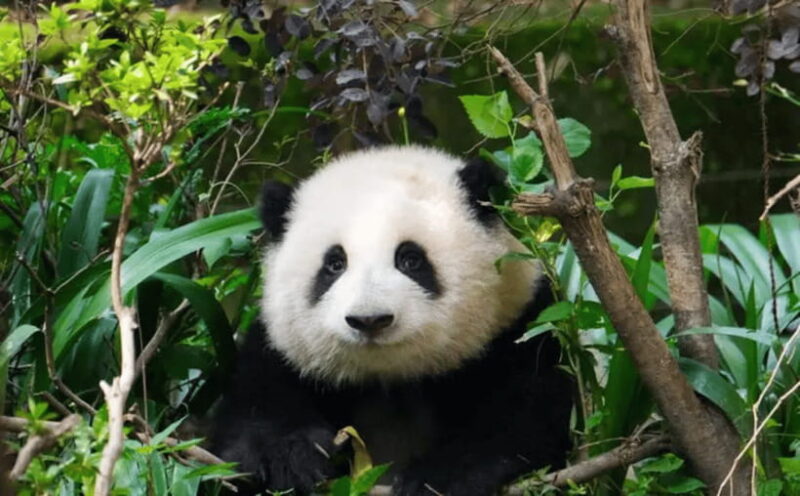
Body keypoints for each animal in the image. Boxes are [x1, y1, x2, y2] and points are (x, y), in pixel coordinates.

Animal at [212, 146, 573, 495]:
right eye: (334, 264)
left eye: (410, 259)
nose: (369, 319)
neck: (391, 380)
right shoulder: (280, 349)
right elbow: (252, 412)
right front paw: (289, 457)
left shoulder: (520, 327)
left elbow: (525, 420)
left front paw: (438, 479)